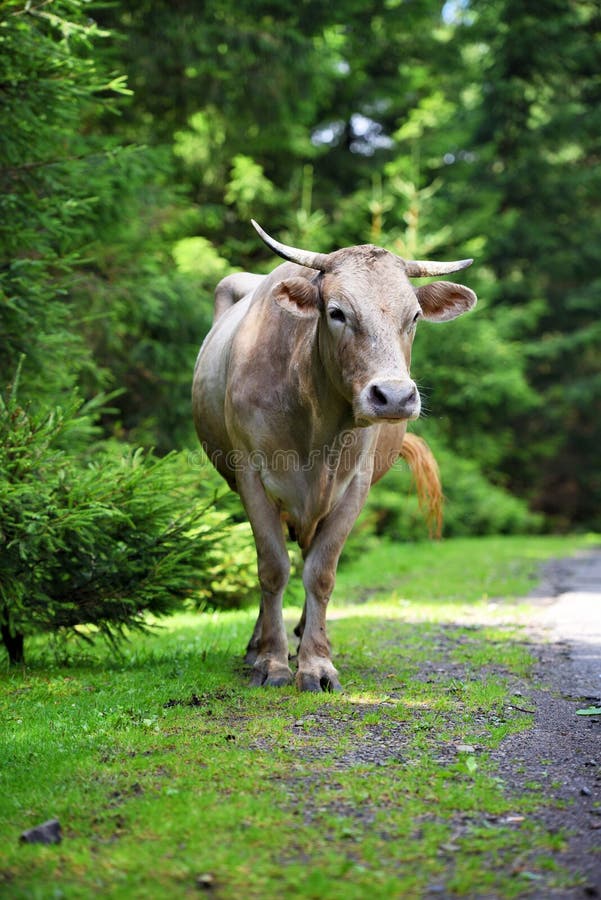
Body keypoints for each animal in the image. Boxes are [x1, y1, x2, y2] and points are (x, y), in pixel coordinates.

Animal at [192, 221, 477, 692]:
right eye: (337, 312)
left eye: (414, 316)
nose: (393, 396)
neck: (318, 426)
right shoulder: (250, 476)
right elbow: (272, 567)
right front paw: (271, 662)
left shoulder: (354, 486)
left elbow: (321, 572)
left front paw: (317, 665)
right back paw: (259, 646)